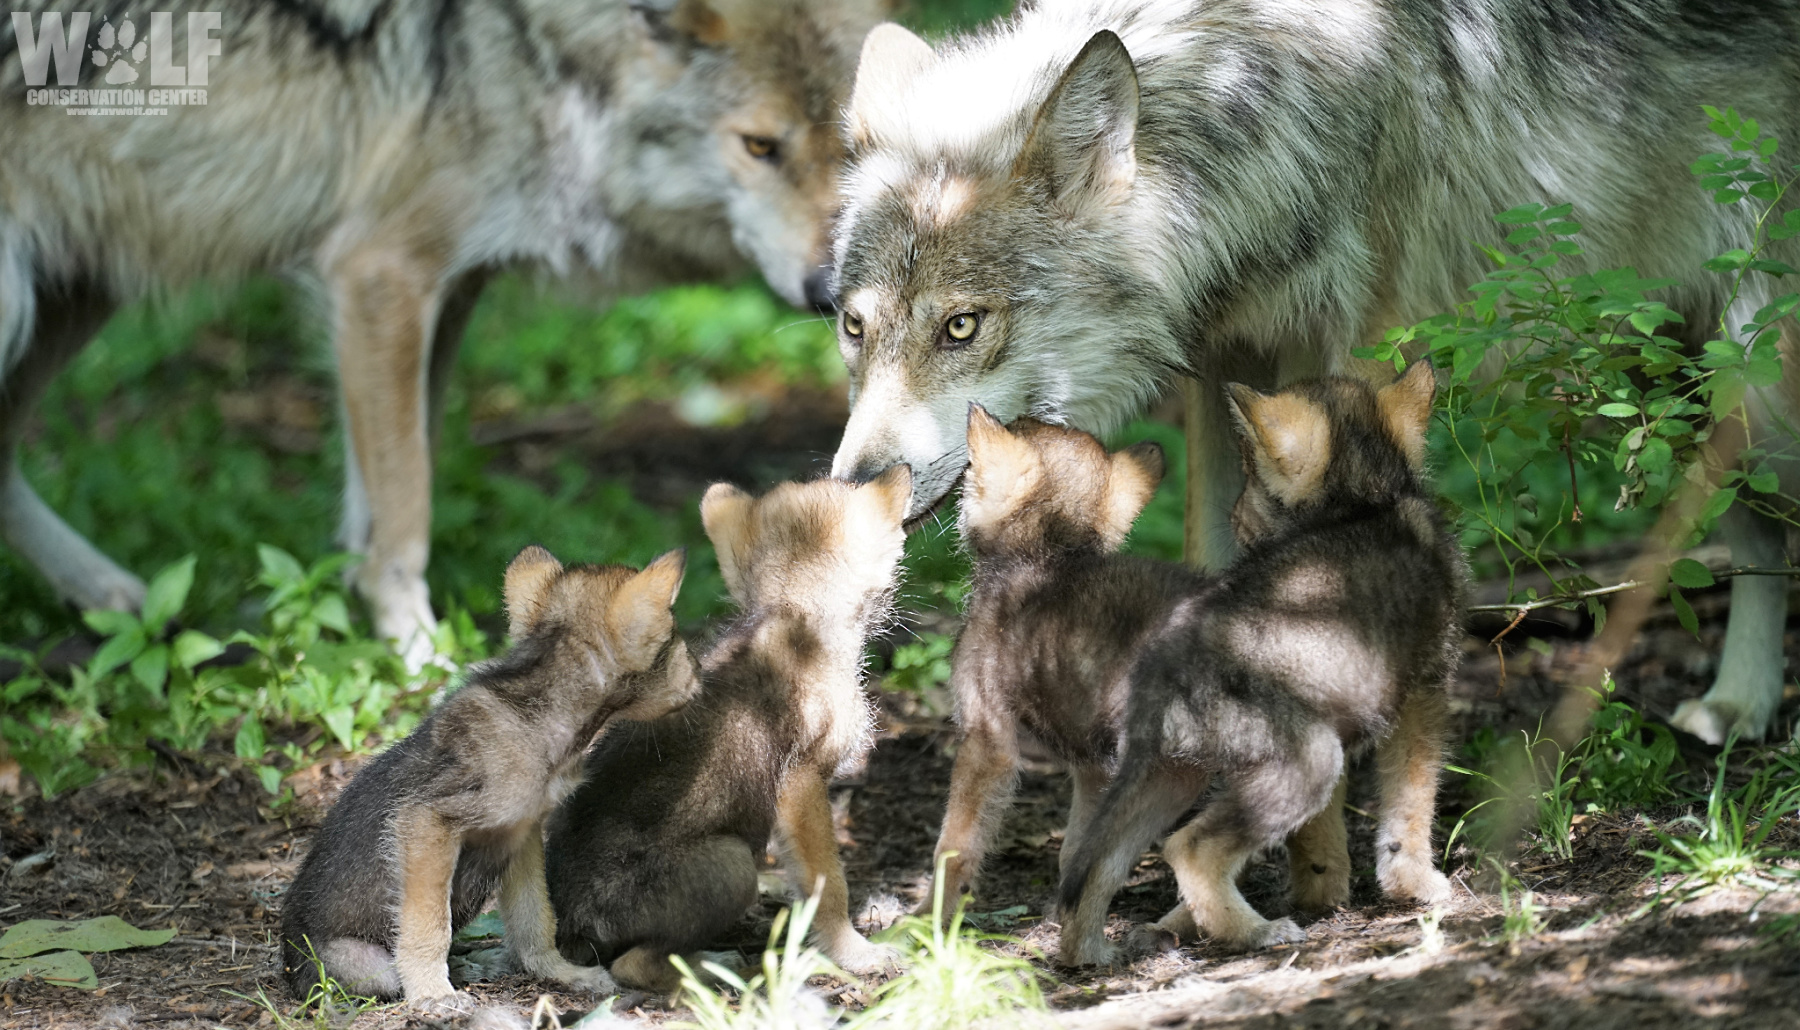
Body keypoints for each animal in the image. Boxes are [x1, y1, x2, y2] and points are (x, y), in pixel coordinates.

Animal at [1, 0, 882, 668]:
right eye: (760, 146)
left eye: (846, 152)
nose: (826, 293)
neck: (531, 65)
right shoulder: (381, 276)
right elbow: (405, 510)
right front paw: (418, 656)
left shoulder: (449, 293)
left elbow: (380, 501)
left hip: (70, 296)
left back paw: (109, 596)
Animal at [279, 545, 697, 1004]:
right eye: (674, 637)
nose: (698, 672)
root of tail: (289, 967)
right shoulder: (425, 822)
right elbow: (429, 926)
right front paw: (432, 993)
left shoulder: (522, 830)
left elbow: (536, 920)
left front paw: (562, 974)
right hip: (361, 966)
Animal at [545, 467, 912, 990]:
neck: (794, 614)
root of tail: (571, 928)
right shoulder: (802, 782)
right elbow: (831, 885)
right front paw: (855, 954)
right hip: (735, 864)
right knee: (632, 966)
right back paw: (719, 970)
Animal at [824, 1, 1800, 744]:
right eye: (853, 327)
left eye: (961, 326)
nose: (856, 486)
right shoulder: (1225, 365)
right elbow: (1211, 561)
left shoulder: (1362, 360)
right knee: (1753, 535)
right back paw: (1738, 705)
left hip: (1749, 388)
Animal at [1053, 363, 1464, 966]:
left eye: (1250, 472)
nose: (1234, 517)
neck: (1362, 498)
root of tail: (1162, 667)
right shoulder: (1423, 694)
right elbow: (1412, 803)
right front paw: (1415, 884)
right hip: (1309, 760)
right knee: (1189, 848)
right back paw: (1256, 933)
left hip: (1174, 774)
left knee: (1100, 861)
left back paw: (1091, 955)